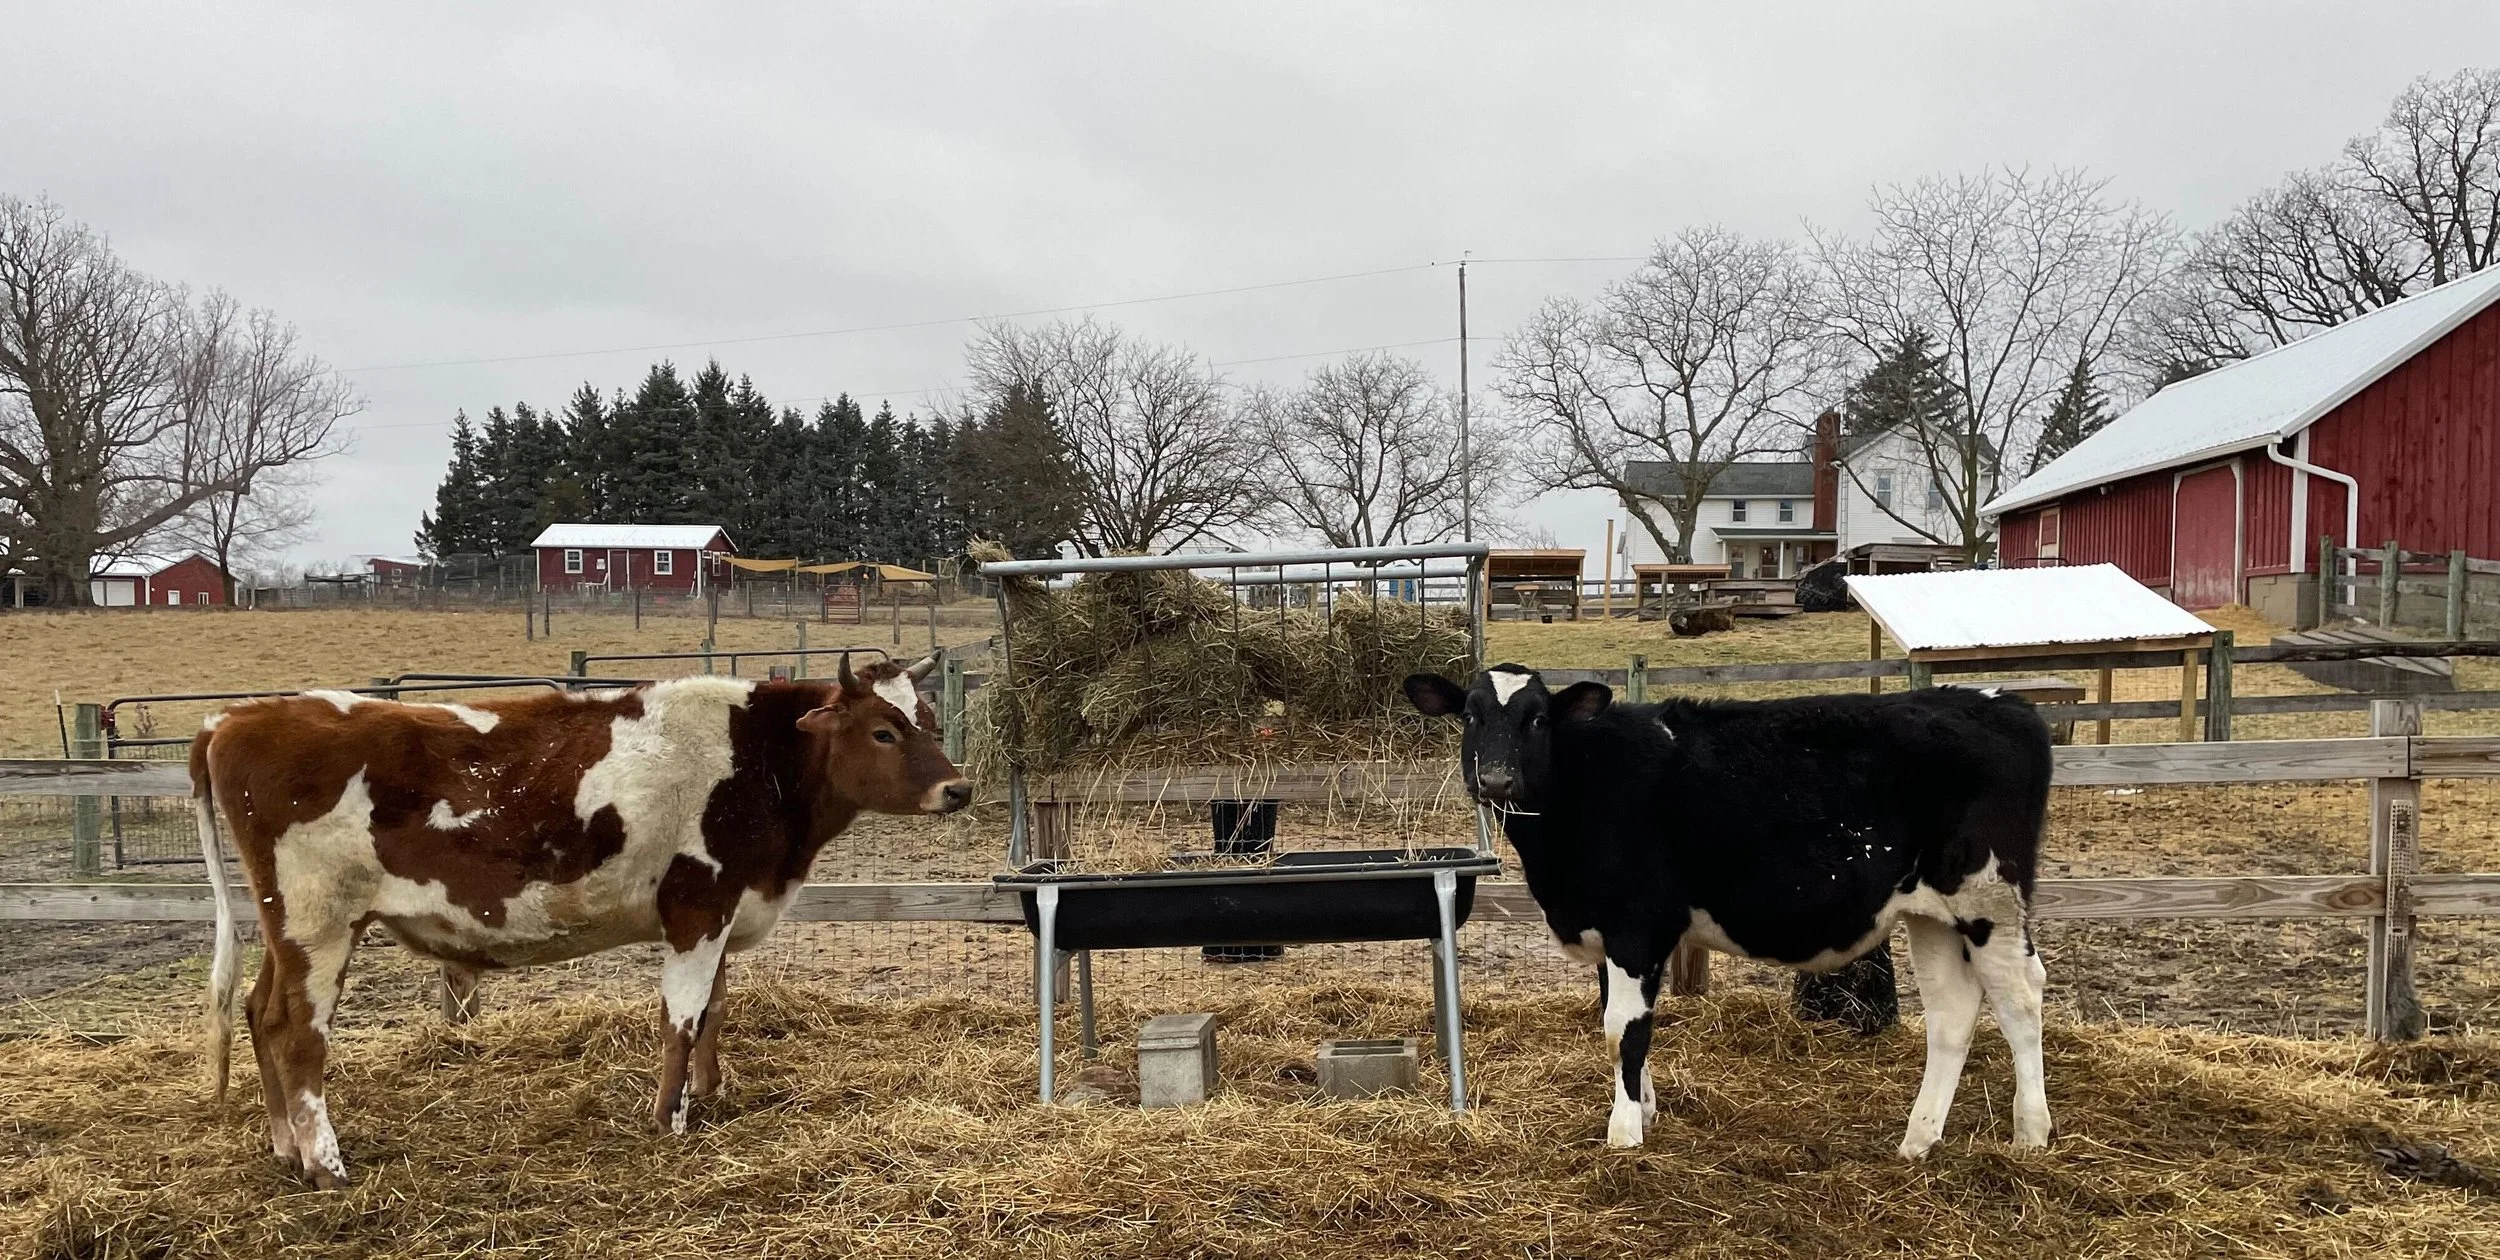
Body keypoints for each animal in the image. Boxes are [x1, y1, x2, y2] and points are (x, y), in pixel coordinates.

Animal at [190, 656, 970, 1187]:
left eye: (930, 723)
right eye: (883, 731)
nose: (957, 788)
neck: (757, 760)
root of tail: (236, 718)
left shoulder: (723, 912)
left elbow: (716, 1010)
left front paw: (711, 1096)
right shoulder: (697, 905)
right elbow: (681, 1020)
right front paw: (670, 1119)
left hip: (284, 926)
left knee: (260, 1012)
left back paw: (285, 1148)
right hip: (319, 922)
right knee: (299, 1034)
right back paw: (326, 1163)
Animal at [1404, 664, 2052, 1159]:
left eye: (1538, 719)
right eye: (1470, 716)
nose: (1496, 779)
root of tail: (1999, 702)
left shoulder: (1636, 926)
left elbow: (1624, 1030)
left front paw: (1624, 1133)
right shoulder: (1609, 931)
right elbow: (1622, 1024)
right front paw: (1644, 1109)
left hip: (1990, 898)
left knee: (2021, 1000)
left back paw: (2030, 1134)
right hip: (1932, 913)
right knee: (1952, 1013)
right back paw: (1918, 1141)